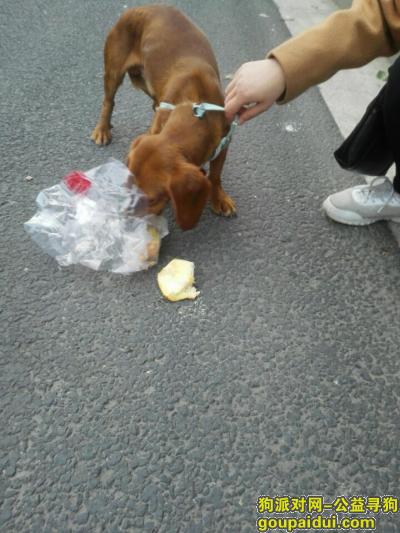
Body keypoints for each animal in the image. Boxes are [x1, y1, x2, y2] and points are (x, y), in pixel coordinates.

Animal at [91, 4, 234, 229]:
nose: (123, 220)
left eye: (151, 200)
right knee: (108, 102)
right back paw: (102, 129)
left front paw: (219, 197)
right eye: (128, 186)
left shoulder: (224, 142)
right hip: (114, 71)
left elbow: (216, 175)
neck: (197, 108)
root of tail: (139, 7)